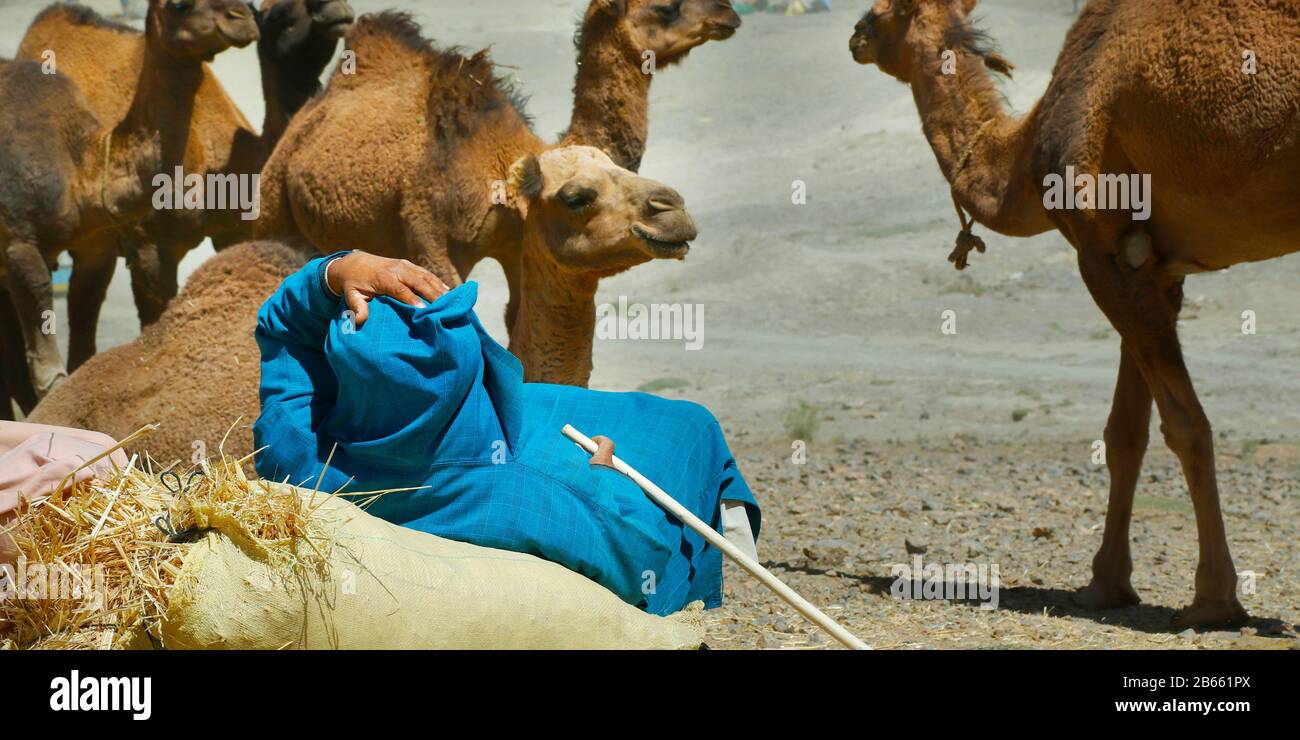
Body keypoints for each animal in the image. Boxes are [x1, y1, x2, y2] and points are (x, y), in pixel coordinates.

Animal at [0, 0, 259, 402]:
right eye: (179, 4)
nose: (243, 17)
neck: (82, 162)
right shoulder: (19, 242)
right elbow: (49, 374)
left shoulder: (97, 245)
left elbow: (82, 355)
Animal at [256, 12, 700, 387]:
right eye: (576, 198)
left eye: (625, 172)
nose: (674, 208)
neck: (501, 164)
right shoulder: (430, 234)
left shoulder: (517, 242)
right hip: (273, 205)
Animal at [850, 0, 1300, 628]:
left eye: (882, 11)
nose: (855, 36)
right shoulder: (1149, 264)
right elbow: (1126, 433)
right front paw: (1105, 585)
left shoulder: (1099, 251)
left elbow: (1184, 425)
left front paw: (1213, 600)